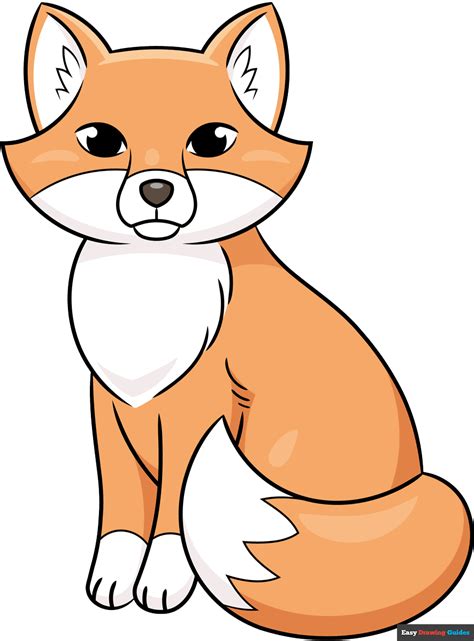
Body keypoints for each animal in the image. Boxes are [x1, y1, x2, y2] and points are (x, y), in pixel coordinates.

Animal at [1, 2, 472, 638]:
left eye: (211, 141)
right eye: (101, 141)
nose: (156, 189)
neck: (146, 298)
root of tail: (413, 487)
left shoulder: (197, 409)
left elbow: (171, 511)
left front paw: (163, 579)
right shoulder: (110, 404)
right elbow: (121, 509)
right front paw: (114, 575)